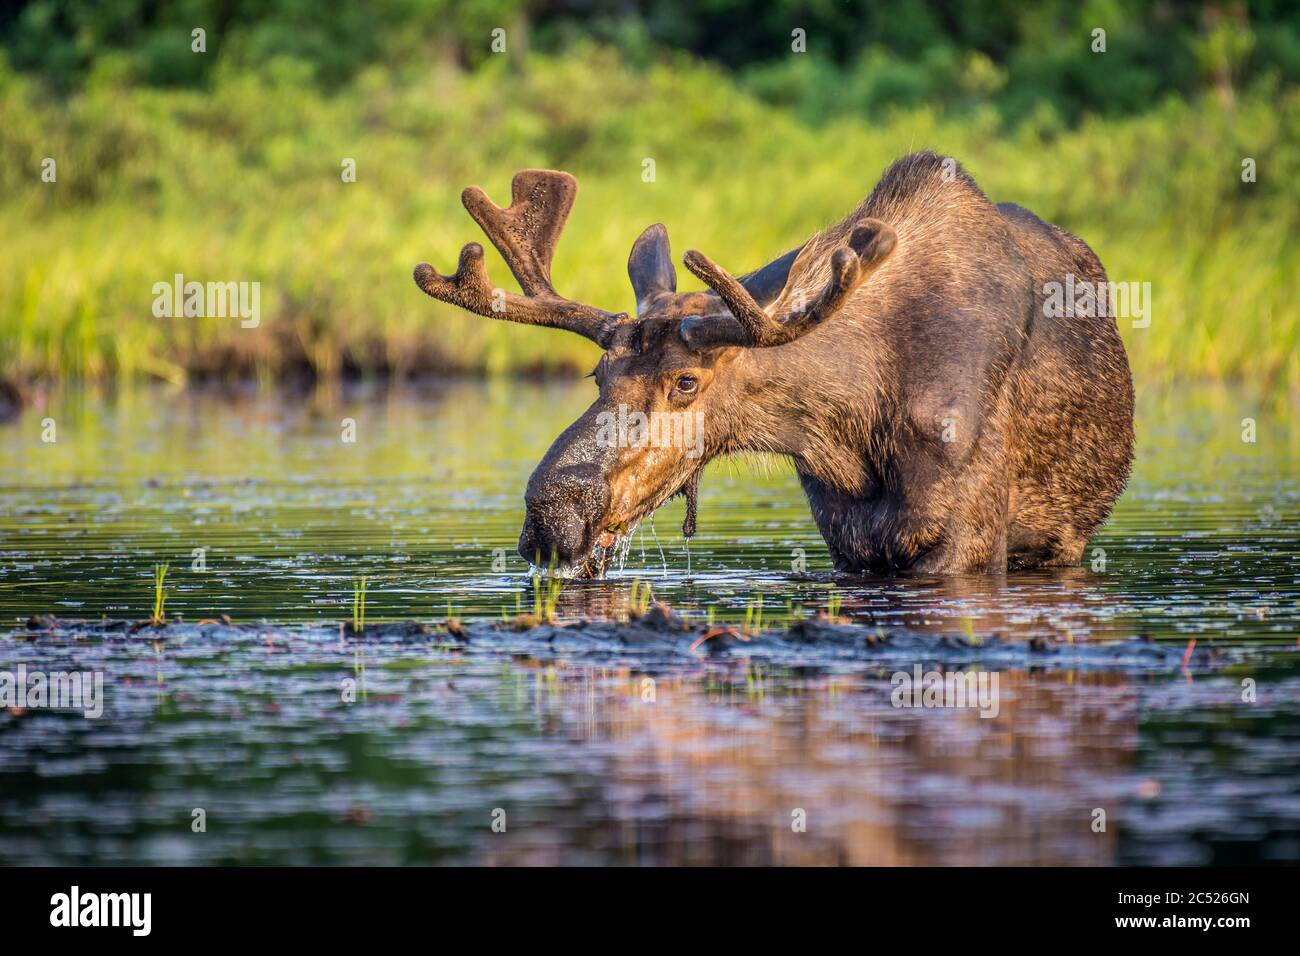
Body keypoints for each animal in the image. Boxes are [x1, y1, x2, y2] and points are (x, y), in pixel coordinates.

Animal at [418, 151, 1138, 574]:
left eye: (687, 382)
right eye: (599, 376)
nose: (550, 513)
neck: (853, 424)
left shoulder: (966, 538)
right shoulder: (846, 538)